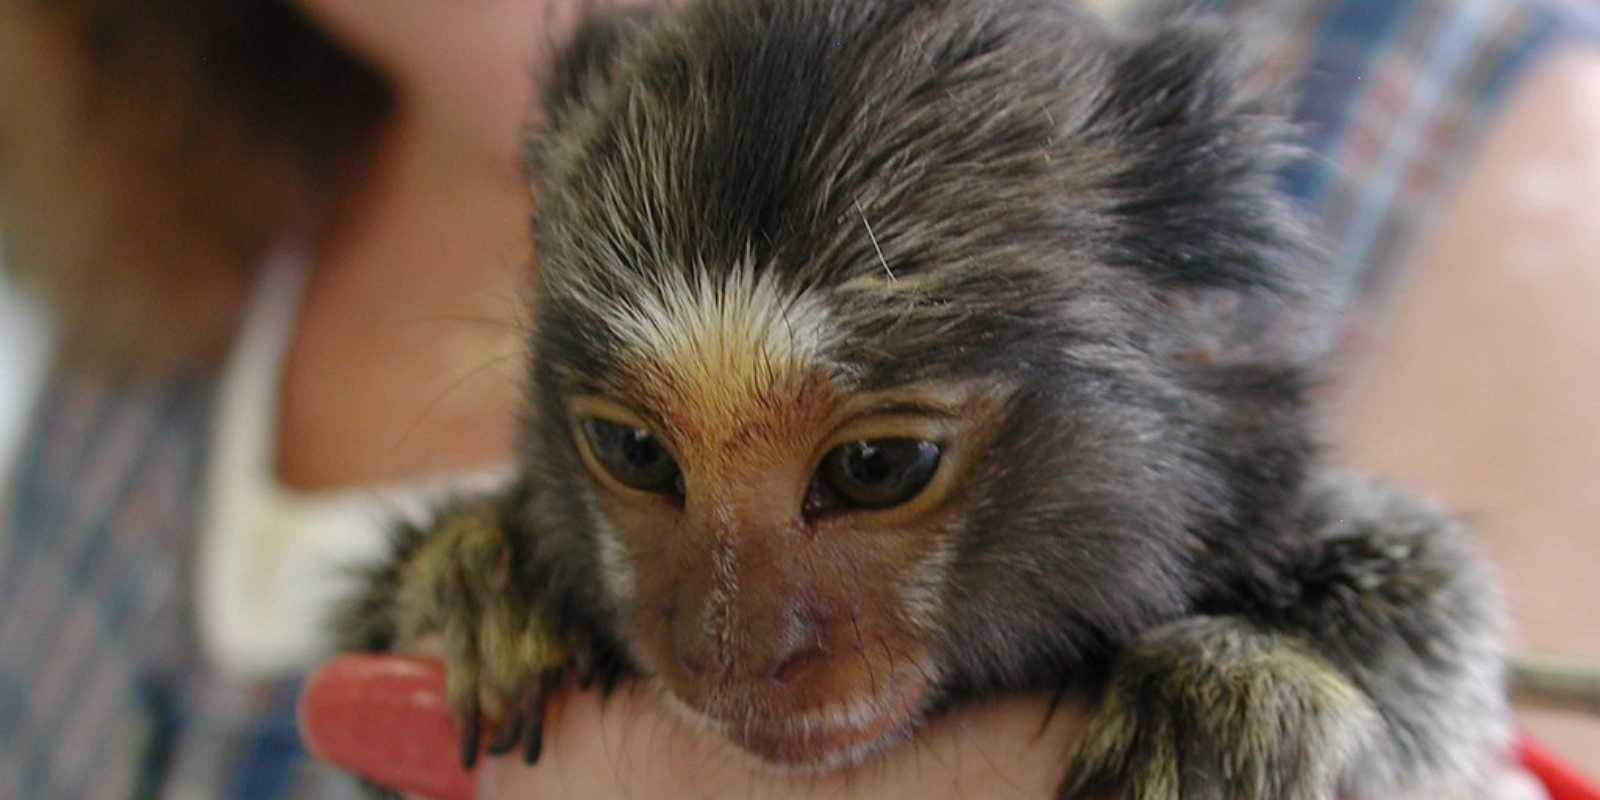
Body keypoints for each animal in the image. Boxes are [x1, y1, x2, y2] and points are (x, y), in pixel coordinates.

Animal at [333, 0, 1512, 797]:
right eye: (632, 450)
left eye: (877, 467)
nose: (730, 653)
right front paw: (483, 578)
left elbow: (1432, 604)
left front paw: (1245, 682)